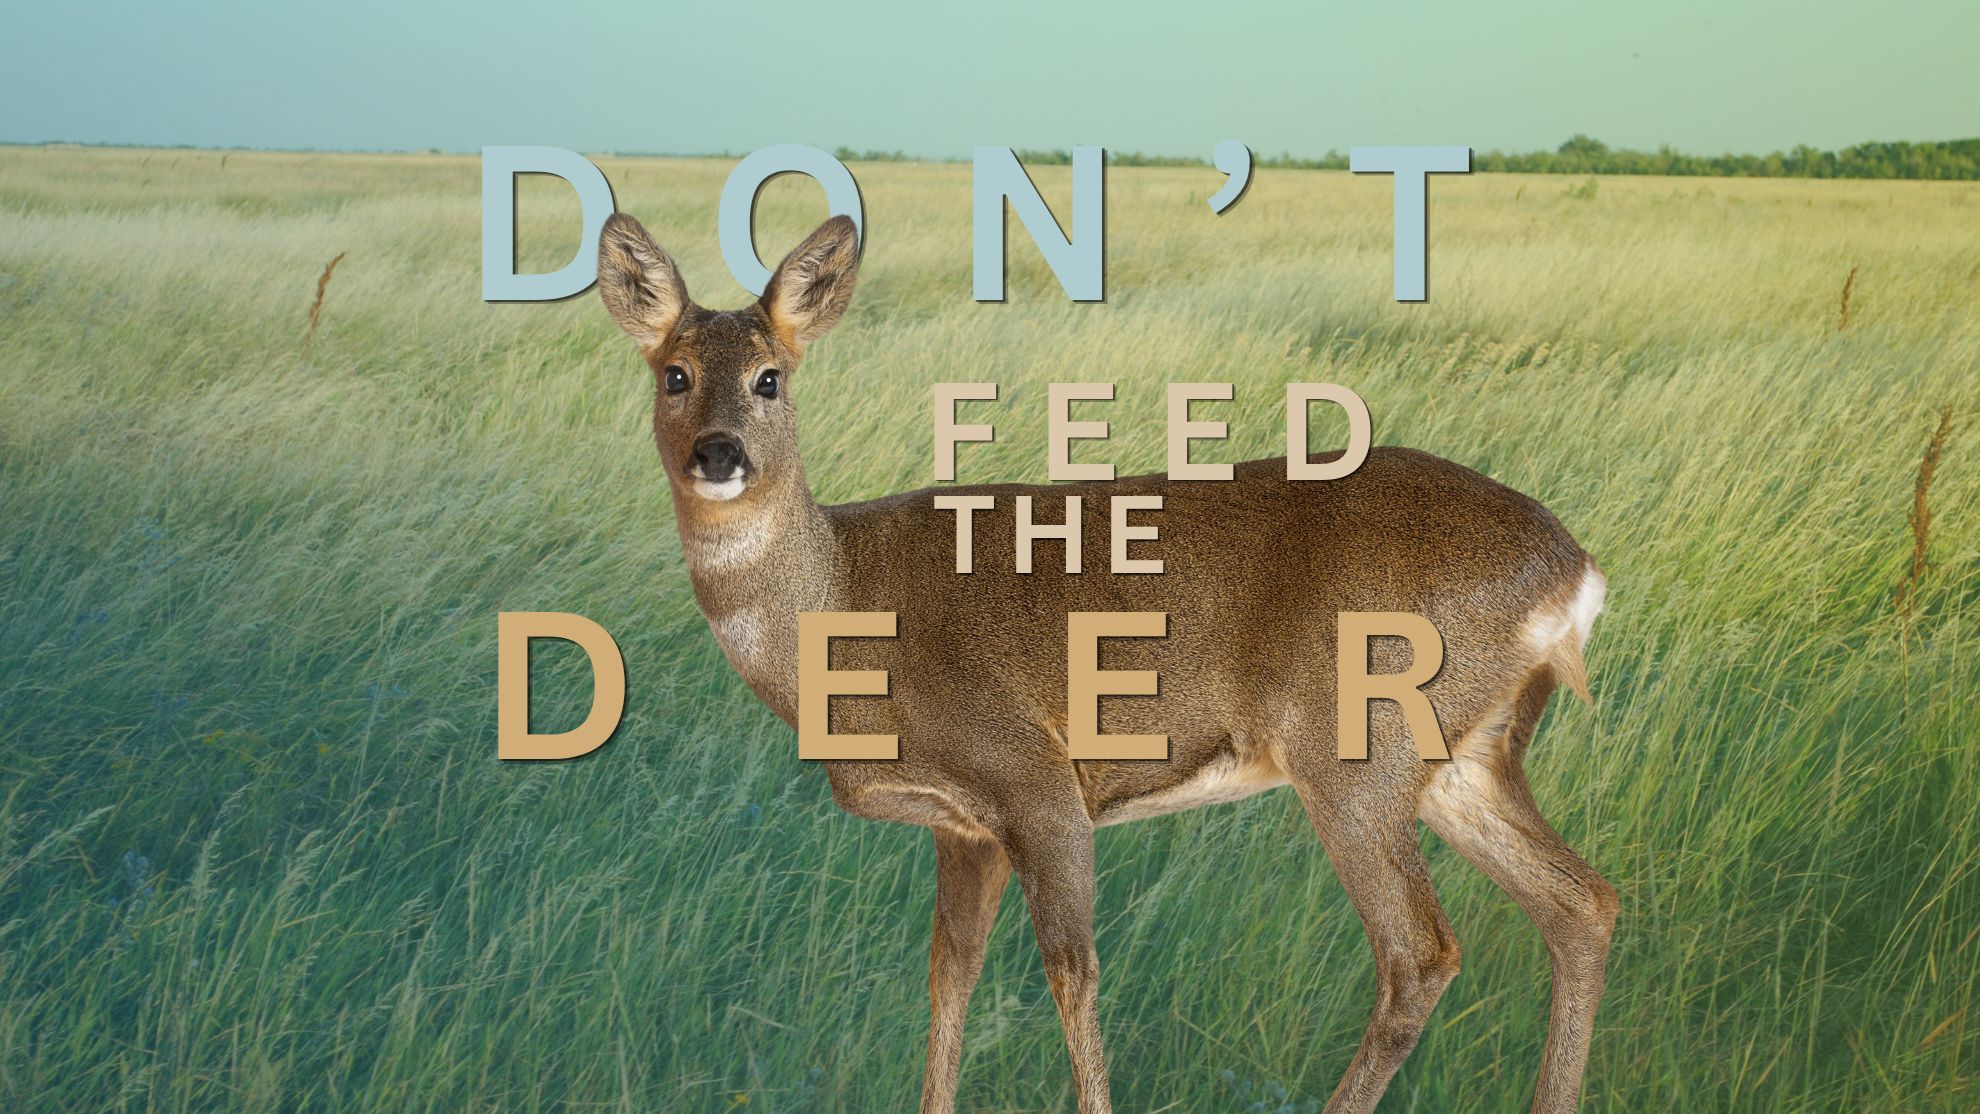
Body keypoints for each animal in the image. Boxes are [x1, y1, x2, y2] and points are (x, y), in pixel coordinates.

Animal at [596, 211, 1618, 1114]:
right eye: (675, 374)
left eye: (771, 378)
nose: (718, 453)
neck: (844, 609)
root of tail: (1574, 572)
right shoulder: (964, 828)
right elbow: (948, 976)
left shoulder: (1036, 776)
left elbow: (1072, 972)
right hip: (1465, 756)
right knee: (1583, 903)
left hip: (1355, 744)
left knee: (1422, 954)